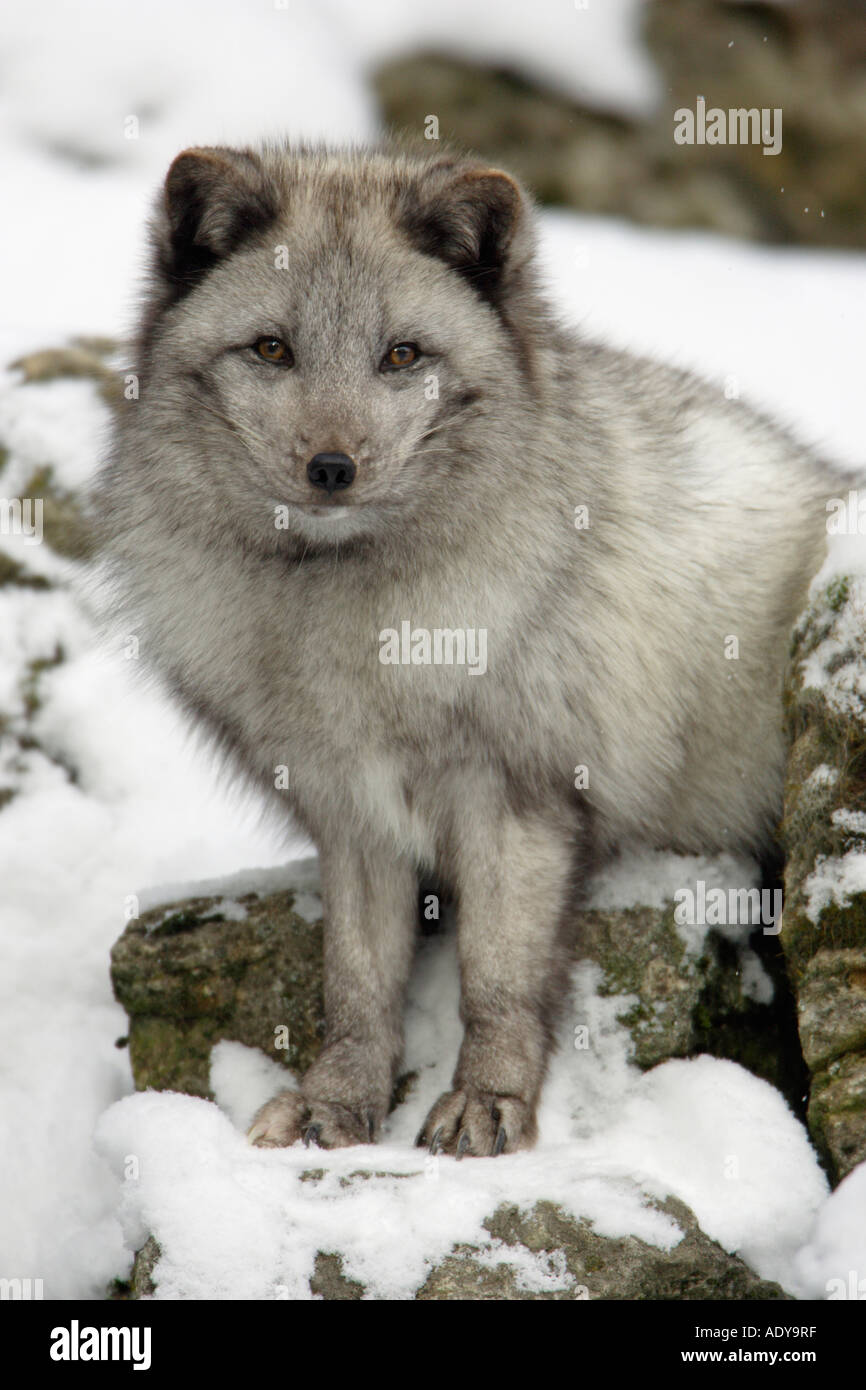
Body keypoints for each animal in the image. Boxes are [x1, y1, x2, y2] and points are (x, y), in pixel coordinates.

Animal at [97, 142, 841, 1157]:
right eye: (272, 348)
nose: (332, 469)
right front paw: (335, 1103)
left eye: (402, 354)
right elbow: (357, 984)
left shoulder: (517, 792)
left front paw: (490, 1100)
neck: (349, 621)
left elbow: (498, 976)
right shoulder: (350, 808)